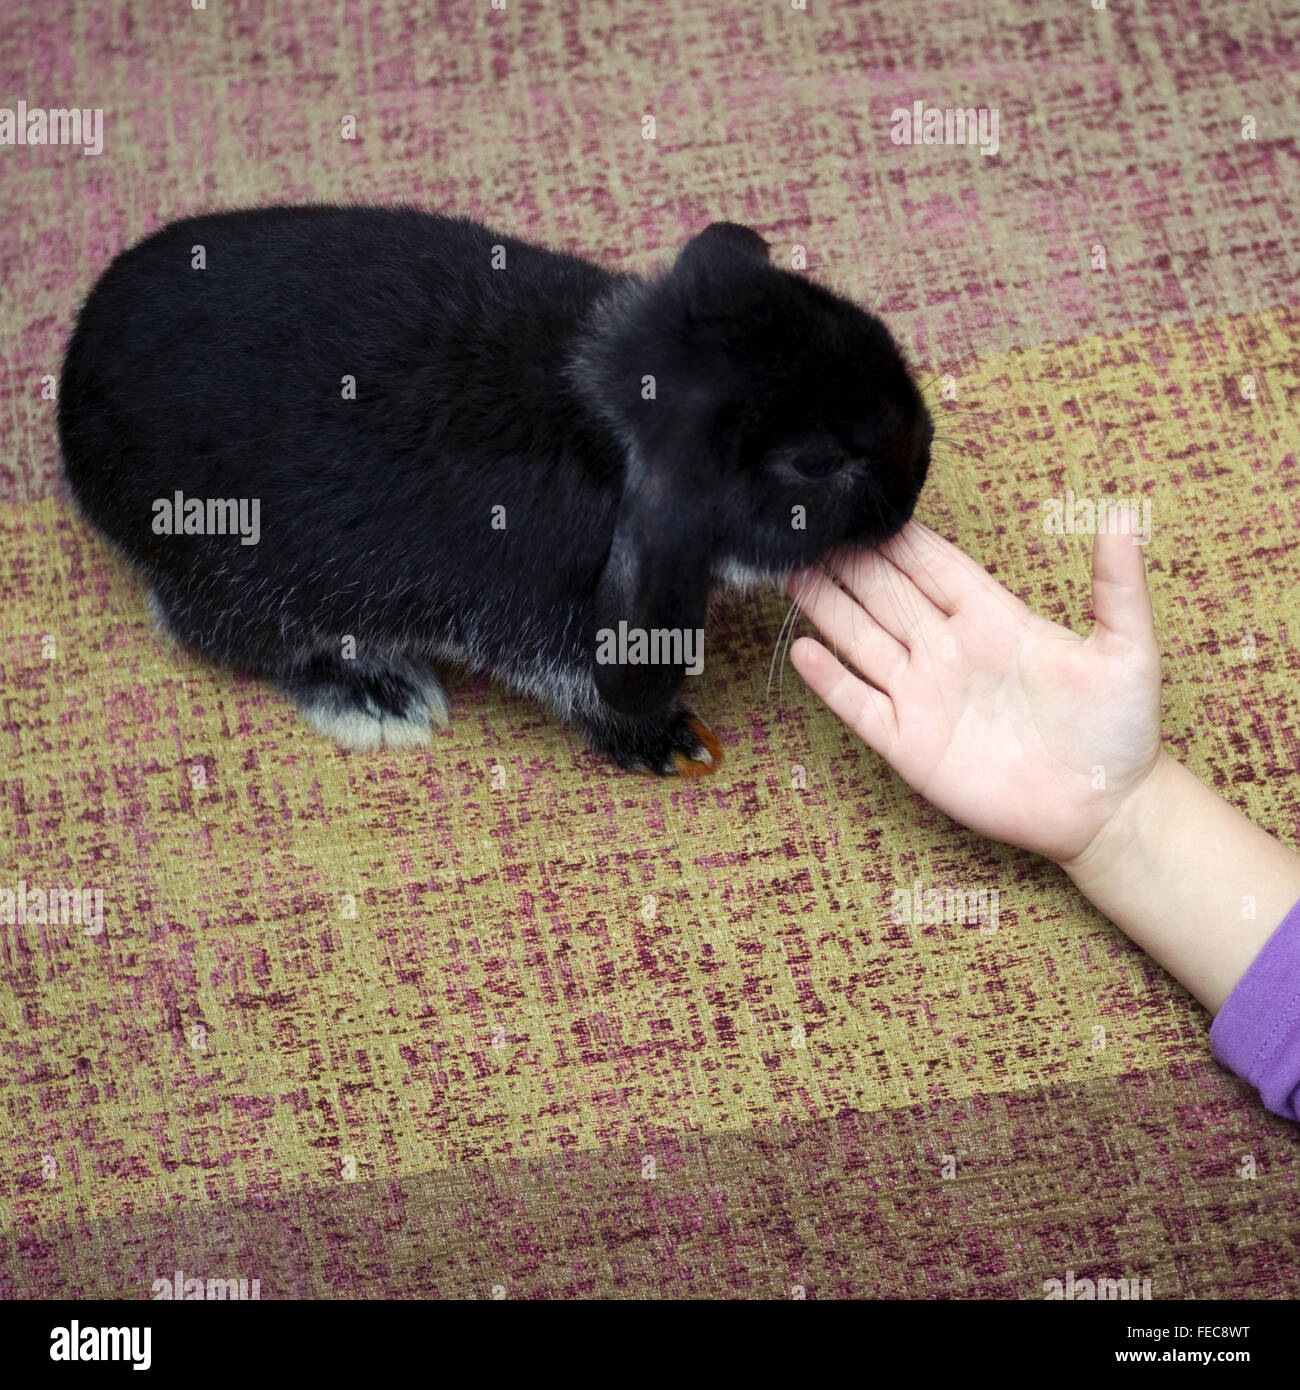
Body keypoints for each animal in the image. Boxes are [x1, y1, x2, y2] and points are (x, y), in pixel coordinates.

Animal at [58, 207, 933, 775]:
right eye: (815, 465)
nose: (921, 459)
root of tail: (71, 391)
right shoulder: (547, 618)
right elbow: (587, 691)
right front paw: (672, 742)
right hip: (238, 579)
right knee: (221, 638)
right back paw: (378, 696)